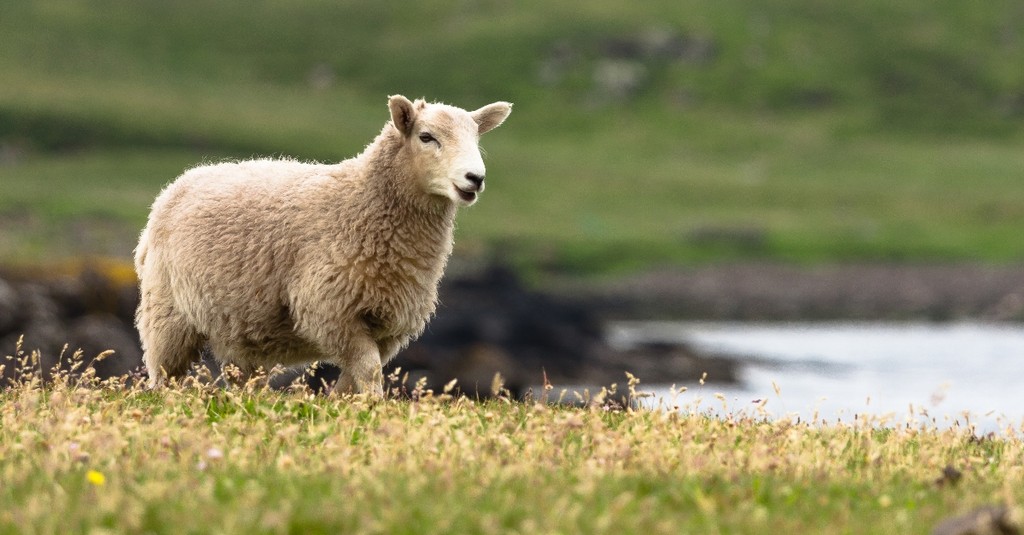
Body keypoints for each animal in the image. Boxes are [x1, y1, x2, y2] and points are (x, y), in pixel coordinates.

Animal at [134, 95, 512, 395]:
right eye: (426, 137)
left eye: (476, 139)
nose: (475, 179)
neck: (360, 202)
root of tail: (180, 182)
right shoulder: (330, 309)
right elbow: (369, 370)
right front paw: (374, 406)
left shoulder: (386, 324)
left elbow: (357, 374)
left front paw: (346, 404)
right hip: (167, 312)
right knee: (164, 374)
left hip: (238, 326)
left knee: (242, 378)